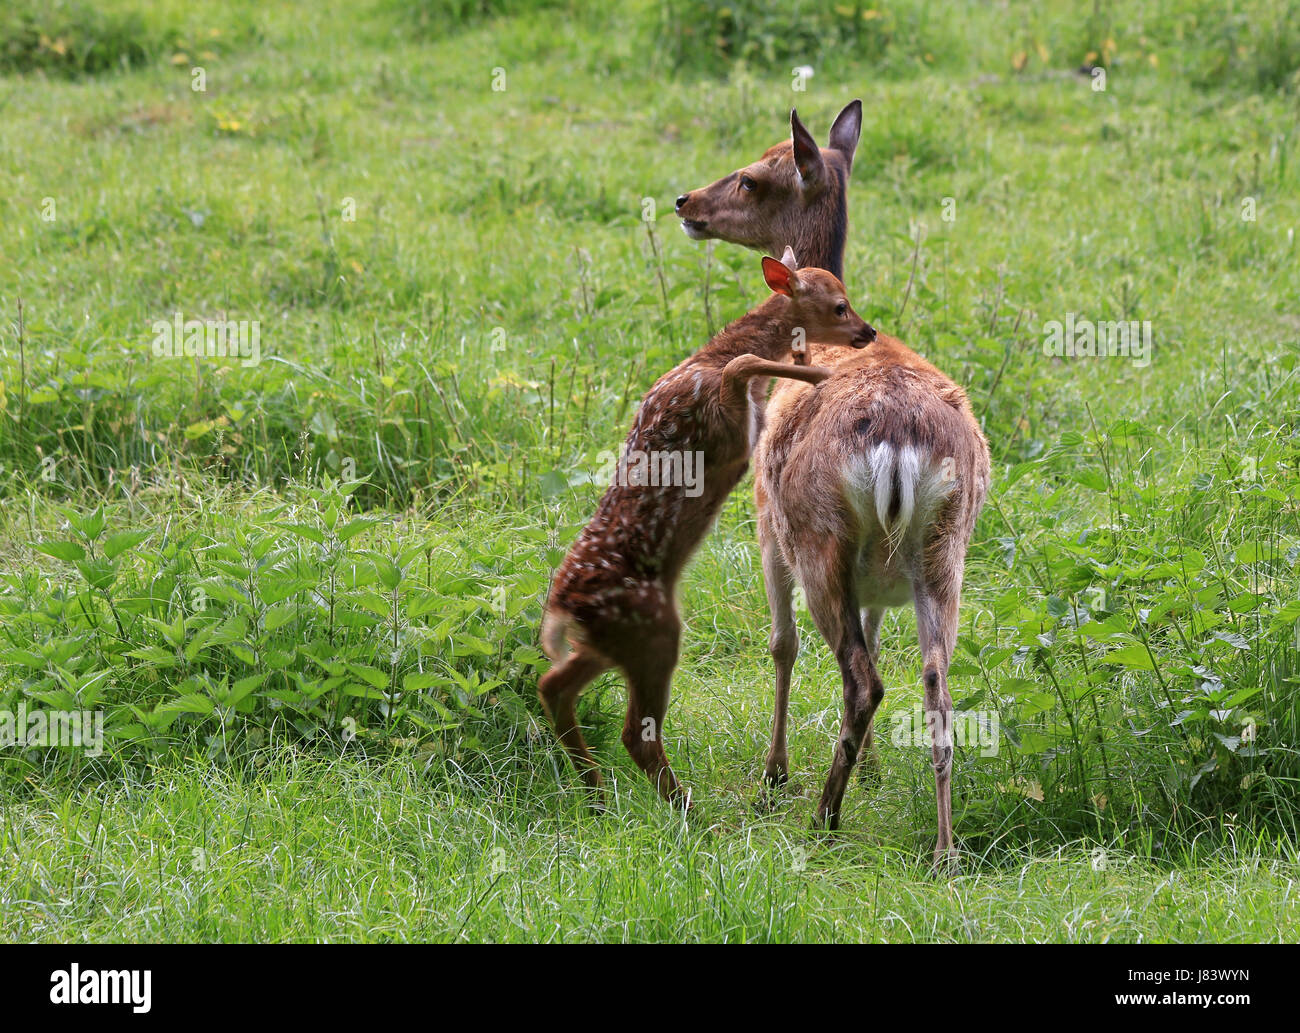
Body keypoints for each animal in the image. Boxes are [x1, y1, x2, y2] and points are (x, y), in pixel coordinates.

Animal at [540, 252, 876, 808]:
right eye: (839, 305)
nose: (868, 333)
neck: (707, 357)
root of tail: (563, 606)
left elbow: (754, 367)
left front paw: (809, 364)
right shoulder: (724, 422)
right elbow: (745, 366)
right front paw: (821, 371)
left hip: (612, 641)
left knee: (553, 687)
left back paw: (597, 793)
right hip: (654, 632)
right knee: (635, 732)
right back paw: (686, 809)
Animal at [676, 102, 991, 865]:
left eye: (752, 177)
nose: (686, 202)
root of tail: (900, 442)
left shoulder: (764, 522)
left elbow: (780, 644)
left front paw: (774, 770)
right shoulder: (879, 579)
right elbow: (878, 638)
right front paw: (875, 767)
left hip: (818, 537)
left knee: (860, 676)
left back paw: (822, 808)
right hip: (943, 552)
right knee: (935, 685)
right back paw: (944, 848)